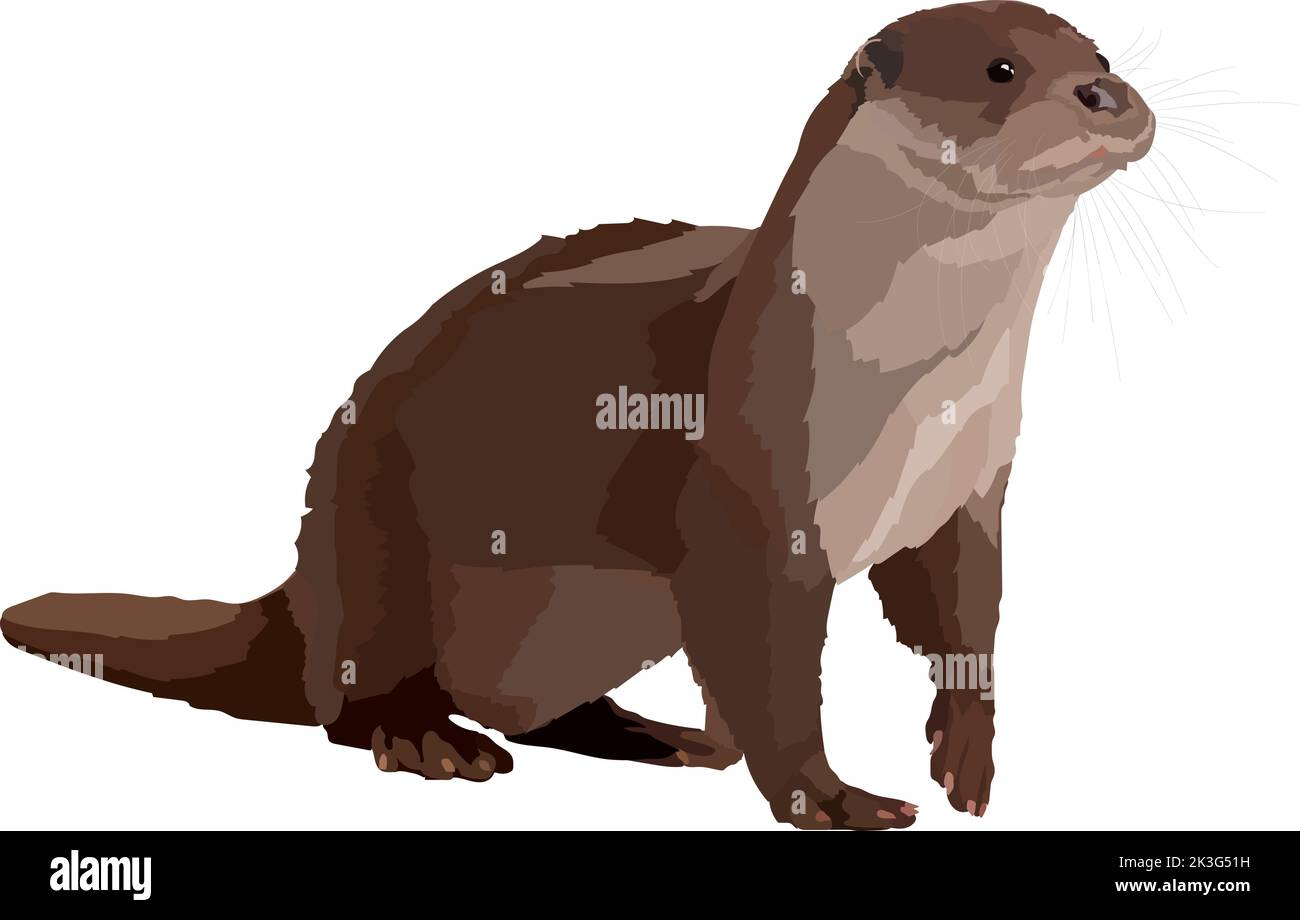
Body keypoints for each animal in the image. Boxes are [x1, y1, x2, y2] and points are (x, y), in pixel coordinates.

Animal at [2, 1, 1154, 829]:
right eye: (1000, 71)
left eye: (1097, 47)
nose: (1104, 90)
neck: (914, 386)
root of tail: (301, 582)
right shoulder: (750, 494)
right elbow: (770, 667)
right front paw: (829, 798)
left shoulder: (968, 484)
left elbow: (962, 615)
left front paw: (967, 753)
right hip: (373, 530)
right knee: (353, 695)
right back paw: (432, 741)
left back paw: (662, 735)